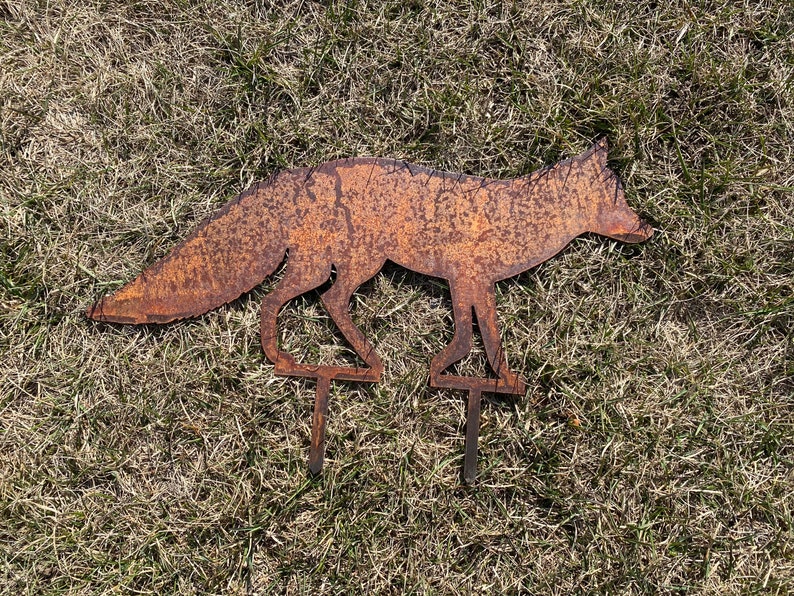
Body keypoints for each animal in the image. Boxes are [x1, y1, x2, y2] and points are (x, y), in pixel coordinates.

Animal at [87, 138, 653, 397]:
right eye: (621, 199)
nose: (648, 229)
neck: (521, 217)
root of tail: (309, 174)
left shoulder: (472, 284)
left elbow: (480, 337)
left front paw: (488, 377)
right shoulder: (466, 279)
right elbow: (472, 337)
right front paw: (452, 371)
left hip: (340, 266)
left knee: (312, 303)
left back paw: (338, 363)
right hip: (344, 266)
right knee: (298, 301)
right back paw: (311, 362)